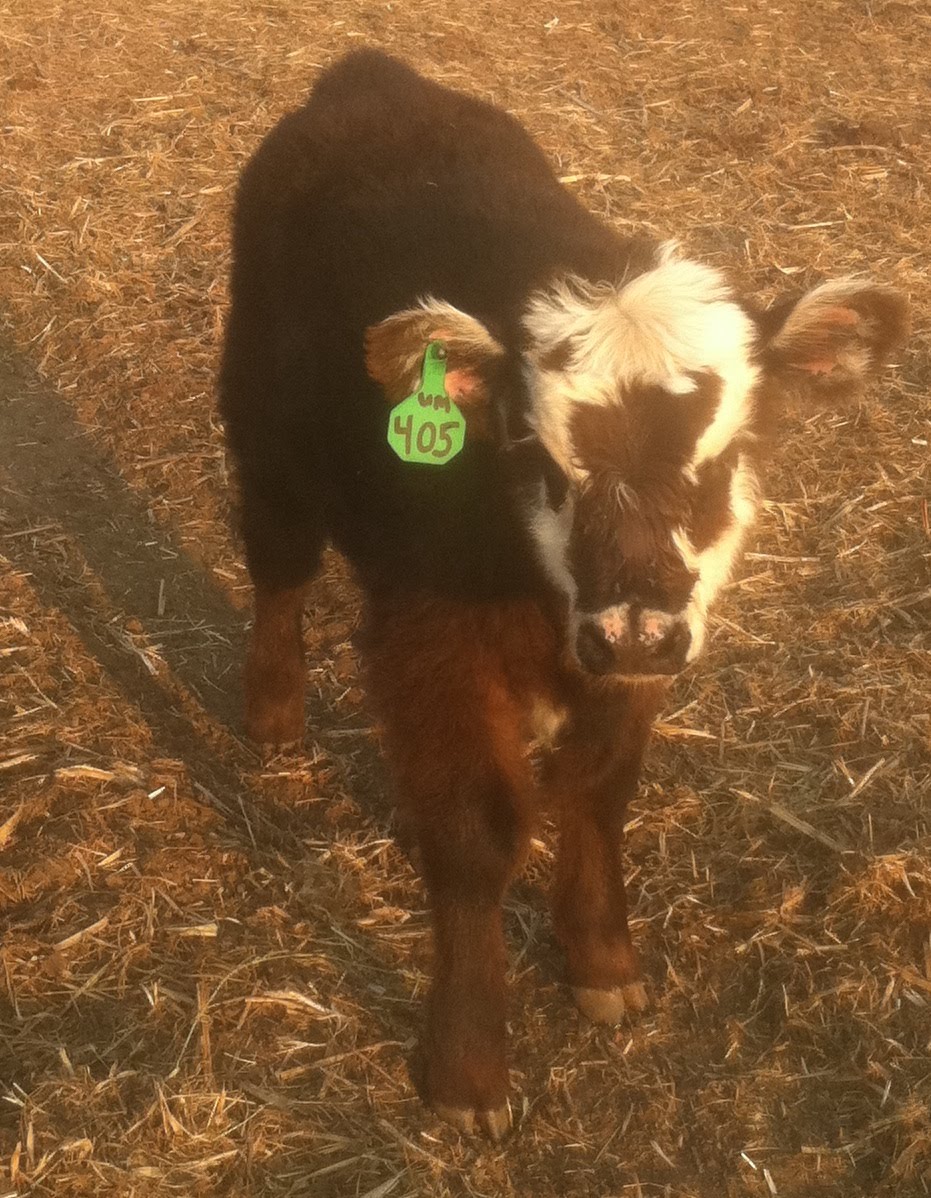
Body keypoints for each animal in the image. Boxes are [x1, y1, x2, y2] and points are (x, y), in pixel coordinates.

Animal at [219, 49, 906, 1139]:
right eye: (540, 457)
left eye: (725, 458)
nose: (630, 630)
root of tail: (368, 77)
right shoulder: (430, 643)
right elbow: (474, 833)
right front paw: (466, 1066)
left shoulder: (644, 653)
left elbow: (596, 791)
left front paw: (600, 958)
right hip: (266, 431)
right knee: (278, 568)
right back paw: (277, 712)